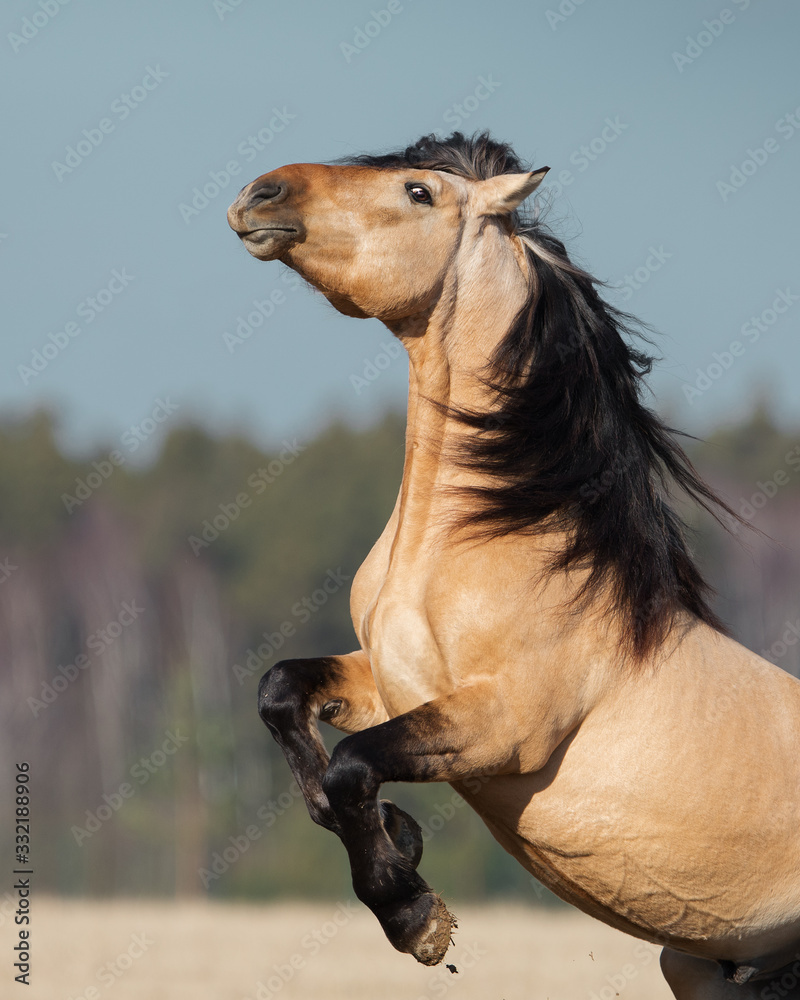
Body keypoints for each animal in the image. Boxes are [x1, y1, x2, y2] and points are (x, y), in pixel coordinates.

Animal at [227, 131, 800, 1000]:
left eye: (419, 191)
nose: (260, 194)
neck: (477, 543)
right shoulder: (388, 682)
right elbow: (282, 694)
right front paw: (396, 837)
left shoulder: (500, 728)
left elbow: (352, 768)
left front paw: (415, 916)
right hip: (705, 967)